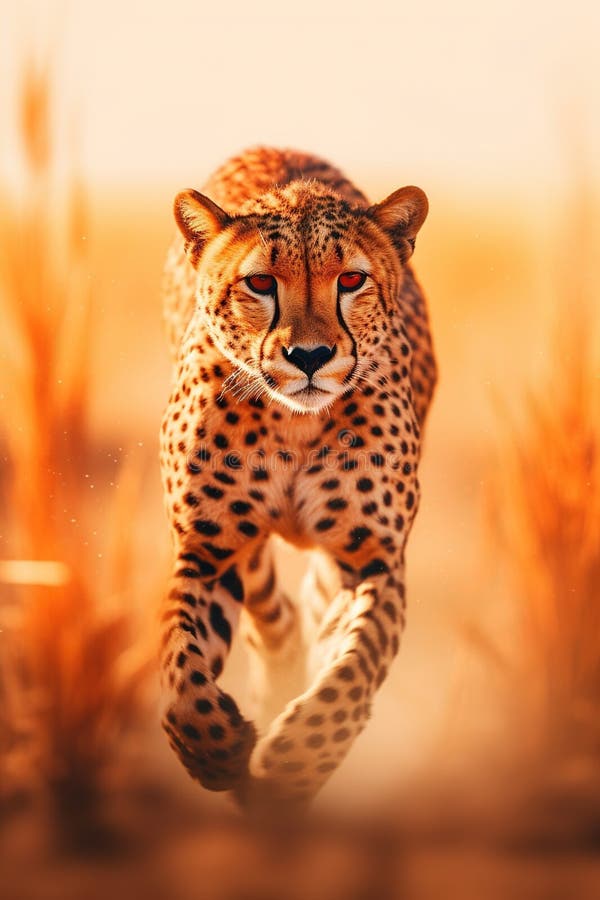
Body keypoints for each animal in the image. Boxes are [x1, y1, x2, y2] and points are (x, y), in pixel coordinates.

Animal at [159, 146, 437, 807]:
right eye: (261, 283)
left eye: (351, 280)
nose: (309, 358)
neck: (293, 422)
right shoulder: (205, 550)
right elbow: (179, 660)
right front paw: (213, 747)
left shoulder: (372, 559)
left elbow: (351, 670)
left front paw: (294, 765)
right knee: (273, 618)